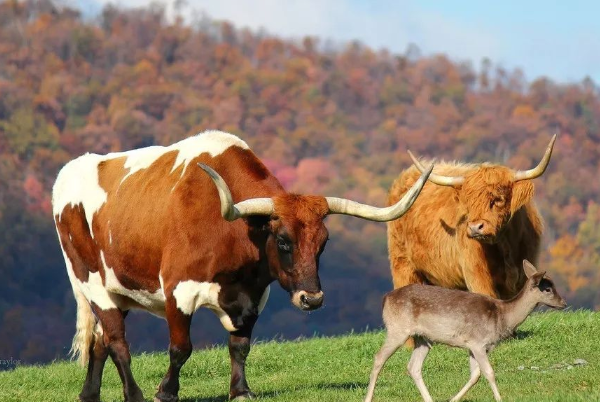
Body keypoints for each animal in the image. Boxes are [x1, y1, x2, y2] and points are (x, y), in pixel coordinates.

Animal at [50, 130, 426, 400]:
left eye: (324, 242)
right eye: (283, 240)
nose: (312, 299)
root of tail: (69, 171)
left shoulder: (253, 296)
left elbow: (240, 346)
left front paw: (241, 391)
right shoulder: (178, 289)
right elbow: (180, 348)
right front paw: (165, 392)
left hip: (120, 288)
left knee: (99, 340)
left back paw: (88, 395)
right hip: (92, 282)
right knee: (117, 342)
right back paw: (134, 394)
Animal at [386, 137, 556, 300]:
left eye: (498, 199)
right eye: (468, 202)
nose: (475, 228)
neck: (506, 245)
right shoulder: (478, 277)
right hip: (403, 265)